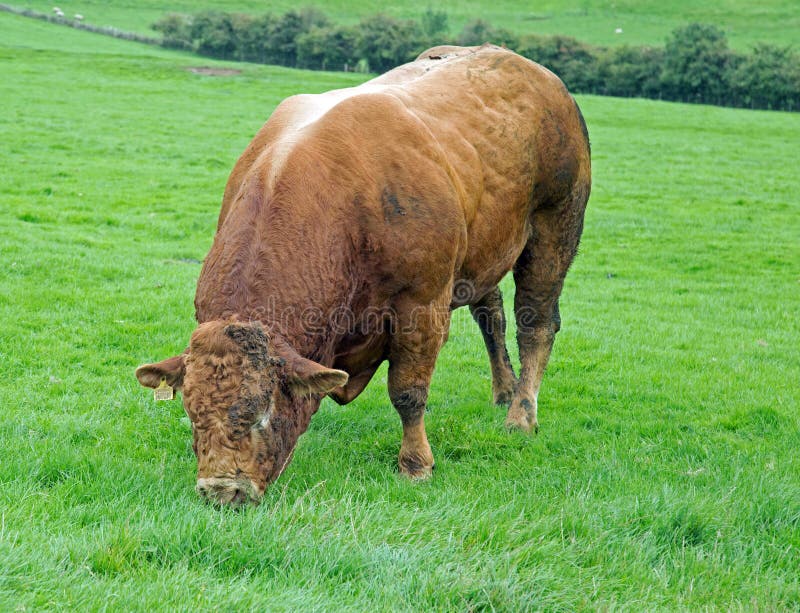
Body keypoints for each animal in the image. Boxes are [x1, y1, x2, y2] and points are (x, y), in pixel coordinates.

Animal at [136, 44, 591, 506]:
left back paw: (521, 415)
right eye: (191, 413)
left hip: (555, 228)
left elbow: (408, 392)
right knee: (491, 314)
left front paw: (415, 464)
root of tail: (532, 70)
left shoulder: (421, 308)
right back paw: (504, 390)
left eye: (262, 414)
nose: (222, 489)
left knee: (536, 323)